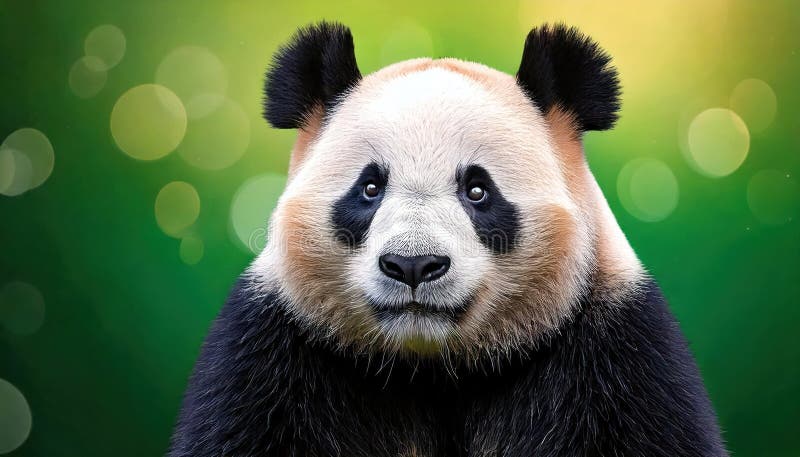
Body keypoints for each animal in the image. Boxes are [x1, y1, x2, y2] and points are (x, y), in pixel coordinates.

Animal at [169, 22, 728, 457]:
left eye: (478, 190)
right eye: (369, 188)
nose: (413, 265)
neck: (436, 368)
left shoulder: (613, 357)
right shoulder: (273, 358)